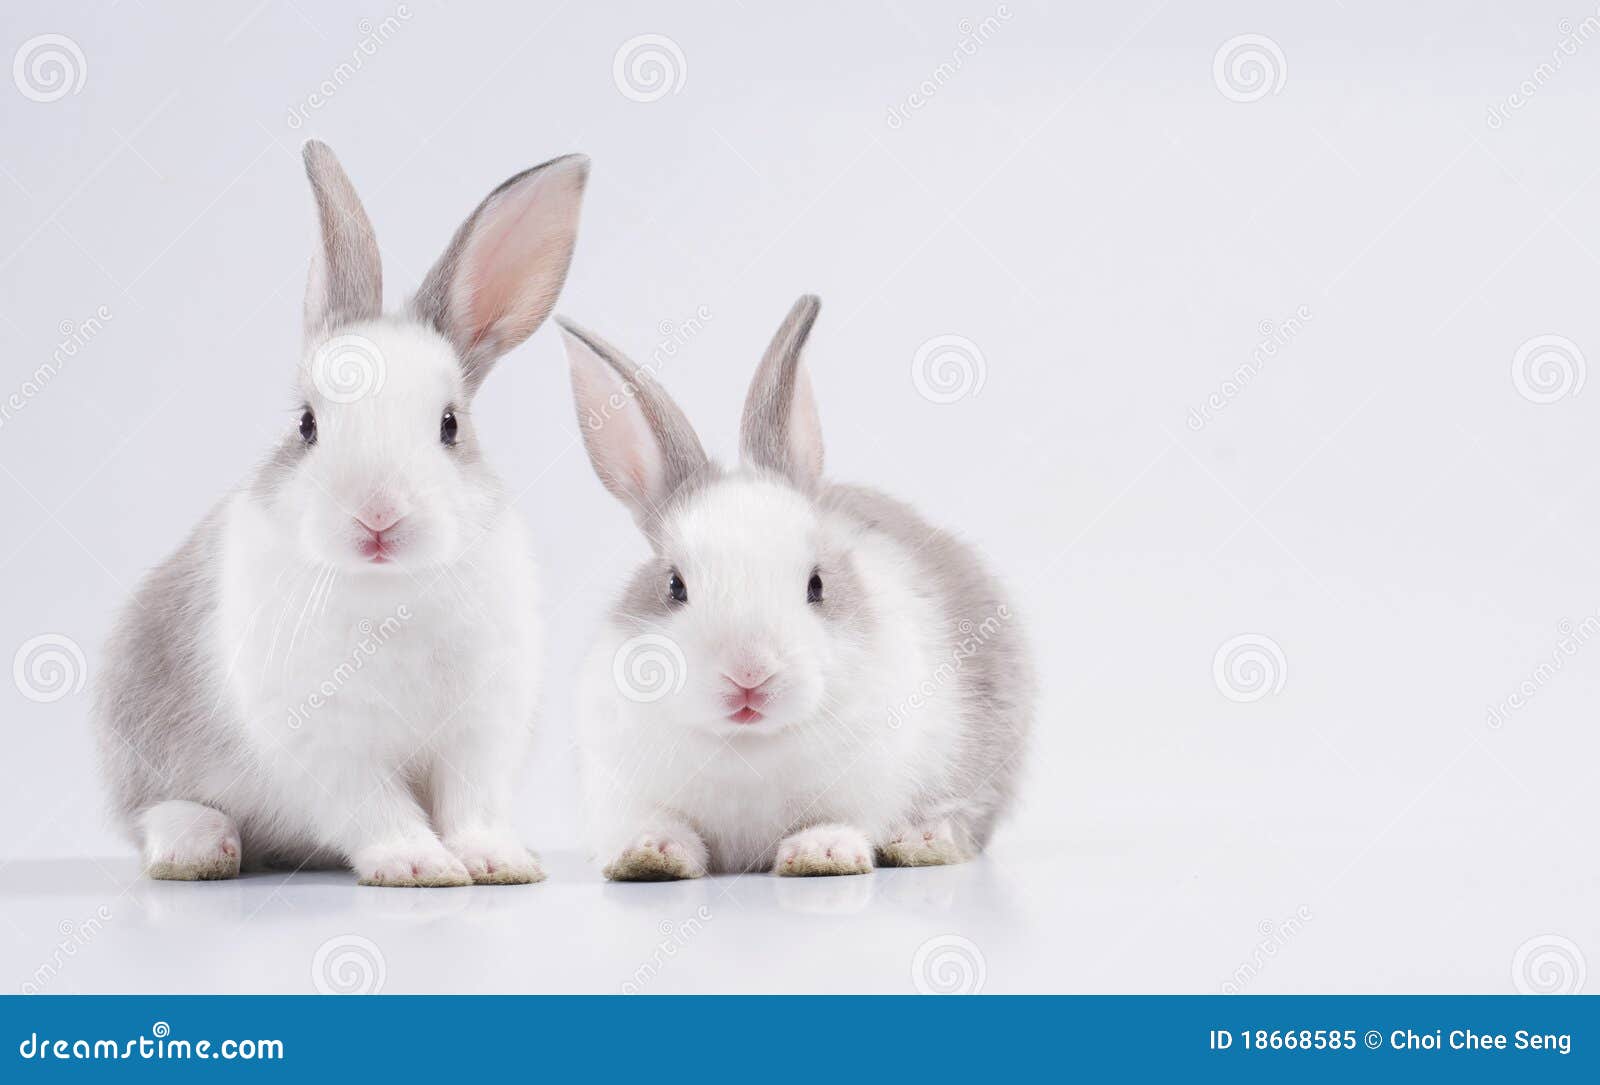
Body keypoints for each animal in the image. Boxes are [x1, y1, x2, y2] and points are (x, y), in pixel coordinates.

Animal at [93, 140, 588, 886]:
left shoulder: (479, 734)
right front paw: (417, 863)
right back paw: (198, 845)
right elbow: (377, 807)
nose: (377, 516)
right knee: (155, 812)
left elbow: (471, 804)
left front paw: (495, 860)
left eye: (450, 425)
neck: (390, 592)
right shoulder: (328, 743)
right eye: (307, 425)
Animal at [557, 295, 1033, 879]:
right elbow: (655, 826)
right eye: (674, 585)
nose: (750, 676)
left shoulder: (869, 781)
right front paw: (651, 854)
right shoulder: (622, 789)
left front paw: (821, 853)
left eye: (817, 584)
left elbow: (843, 819)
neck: (746, 746)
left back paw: (923, 840)